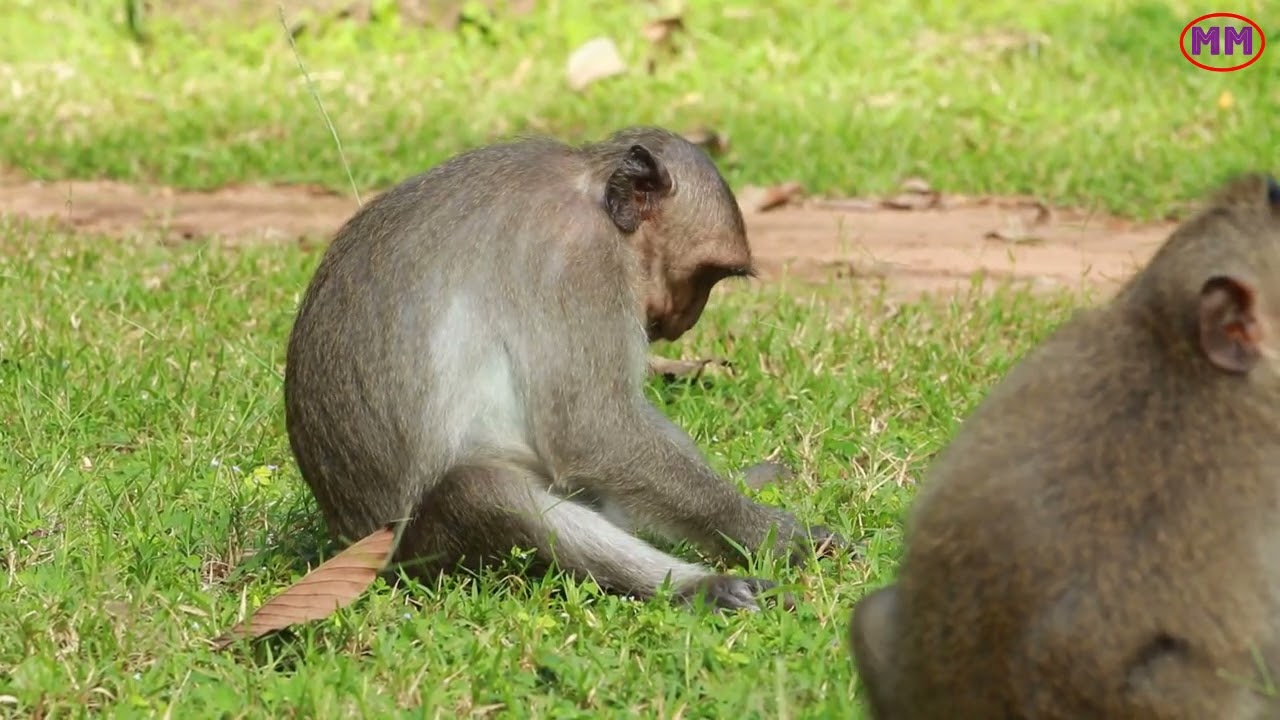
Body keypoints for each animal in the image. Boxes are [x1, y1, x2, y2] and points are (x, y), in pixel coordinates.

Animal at [283, 126, 843, 612]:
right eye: (706, 276)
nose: (687, 319)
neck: (590, 190)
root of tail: (351, 539)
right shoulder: (581, 260)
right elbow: (591, 433)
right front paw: (772, 536)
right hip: (425, 547)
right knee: (483, 488)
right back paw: (699, 587)